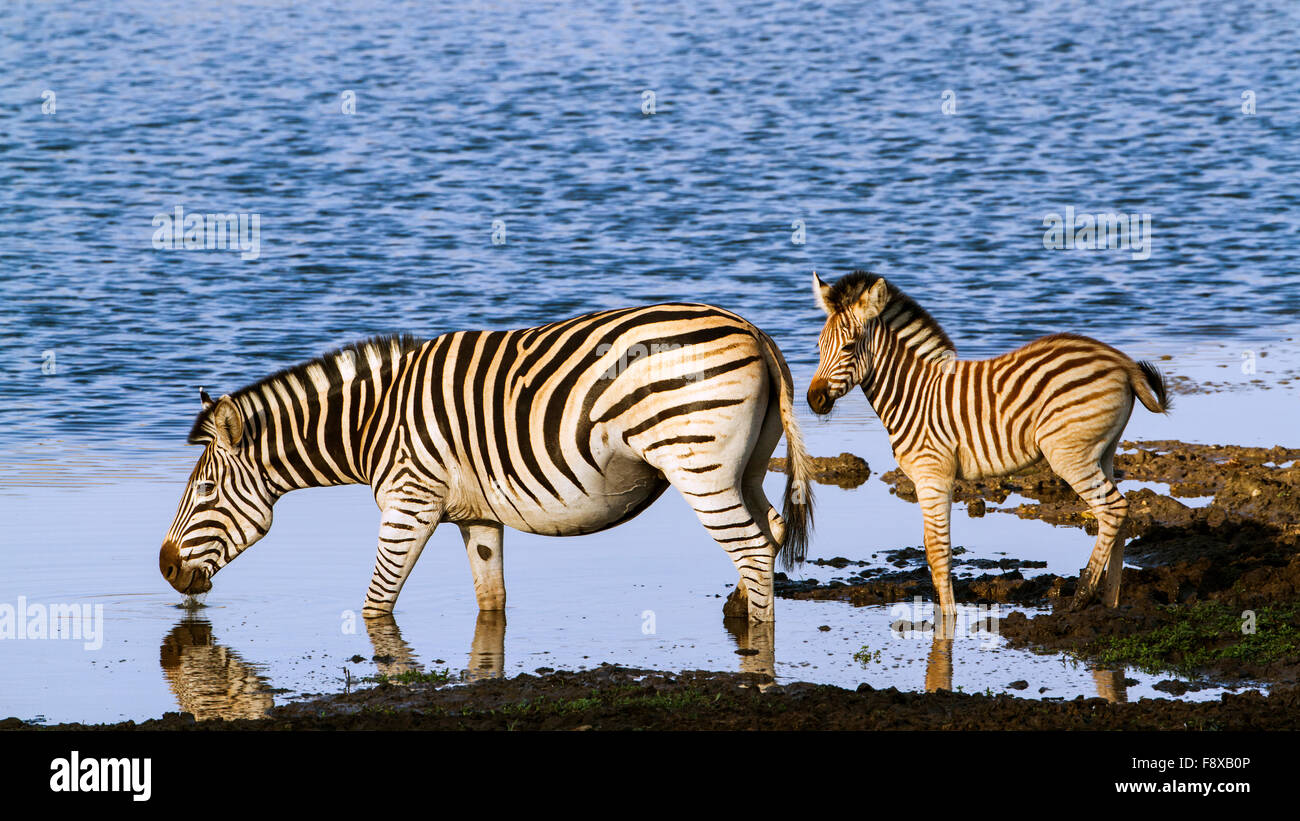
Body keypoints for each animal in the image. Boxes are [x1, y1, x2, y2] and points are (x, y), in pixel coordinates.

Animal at [160, 303, 814, 624]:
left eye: (207, 489)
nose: (165, 570)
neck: (374, 423)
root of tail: (753, 330)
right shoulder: (476, 516)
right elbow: (490, 597)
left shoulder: (409, 504)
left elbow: (376, 600)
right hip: (747, 467)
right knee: (770, 530)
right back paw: (737, 611)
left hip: (698, 467)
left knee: (751, 546)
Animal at [805, 271, 1169, 613]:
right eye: (818, 346)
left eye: (848, 347)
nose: (813, 400)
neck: (913, 394)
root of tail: (1122, 362)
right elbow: (933, 549)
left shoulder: (932, 474)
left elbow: (937, 552)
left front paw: (948, 616)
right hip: (1103, 450)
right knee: (1121, 513)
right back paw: (1110, 602)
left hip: (1069, 453)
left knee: (1112, 509)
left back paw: (1080, 598)